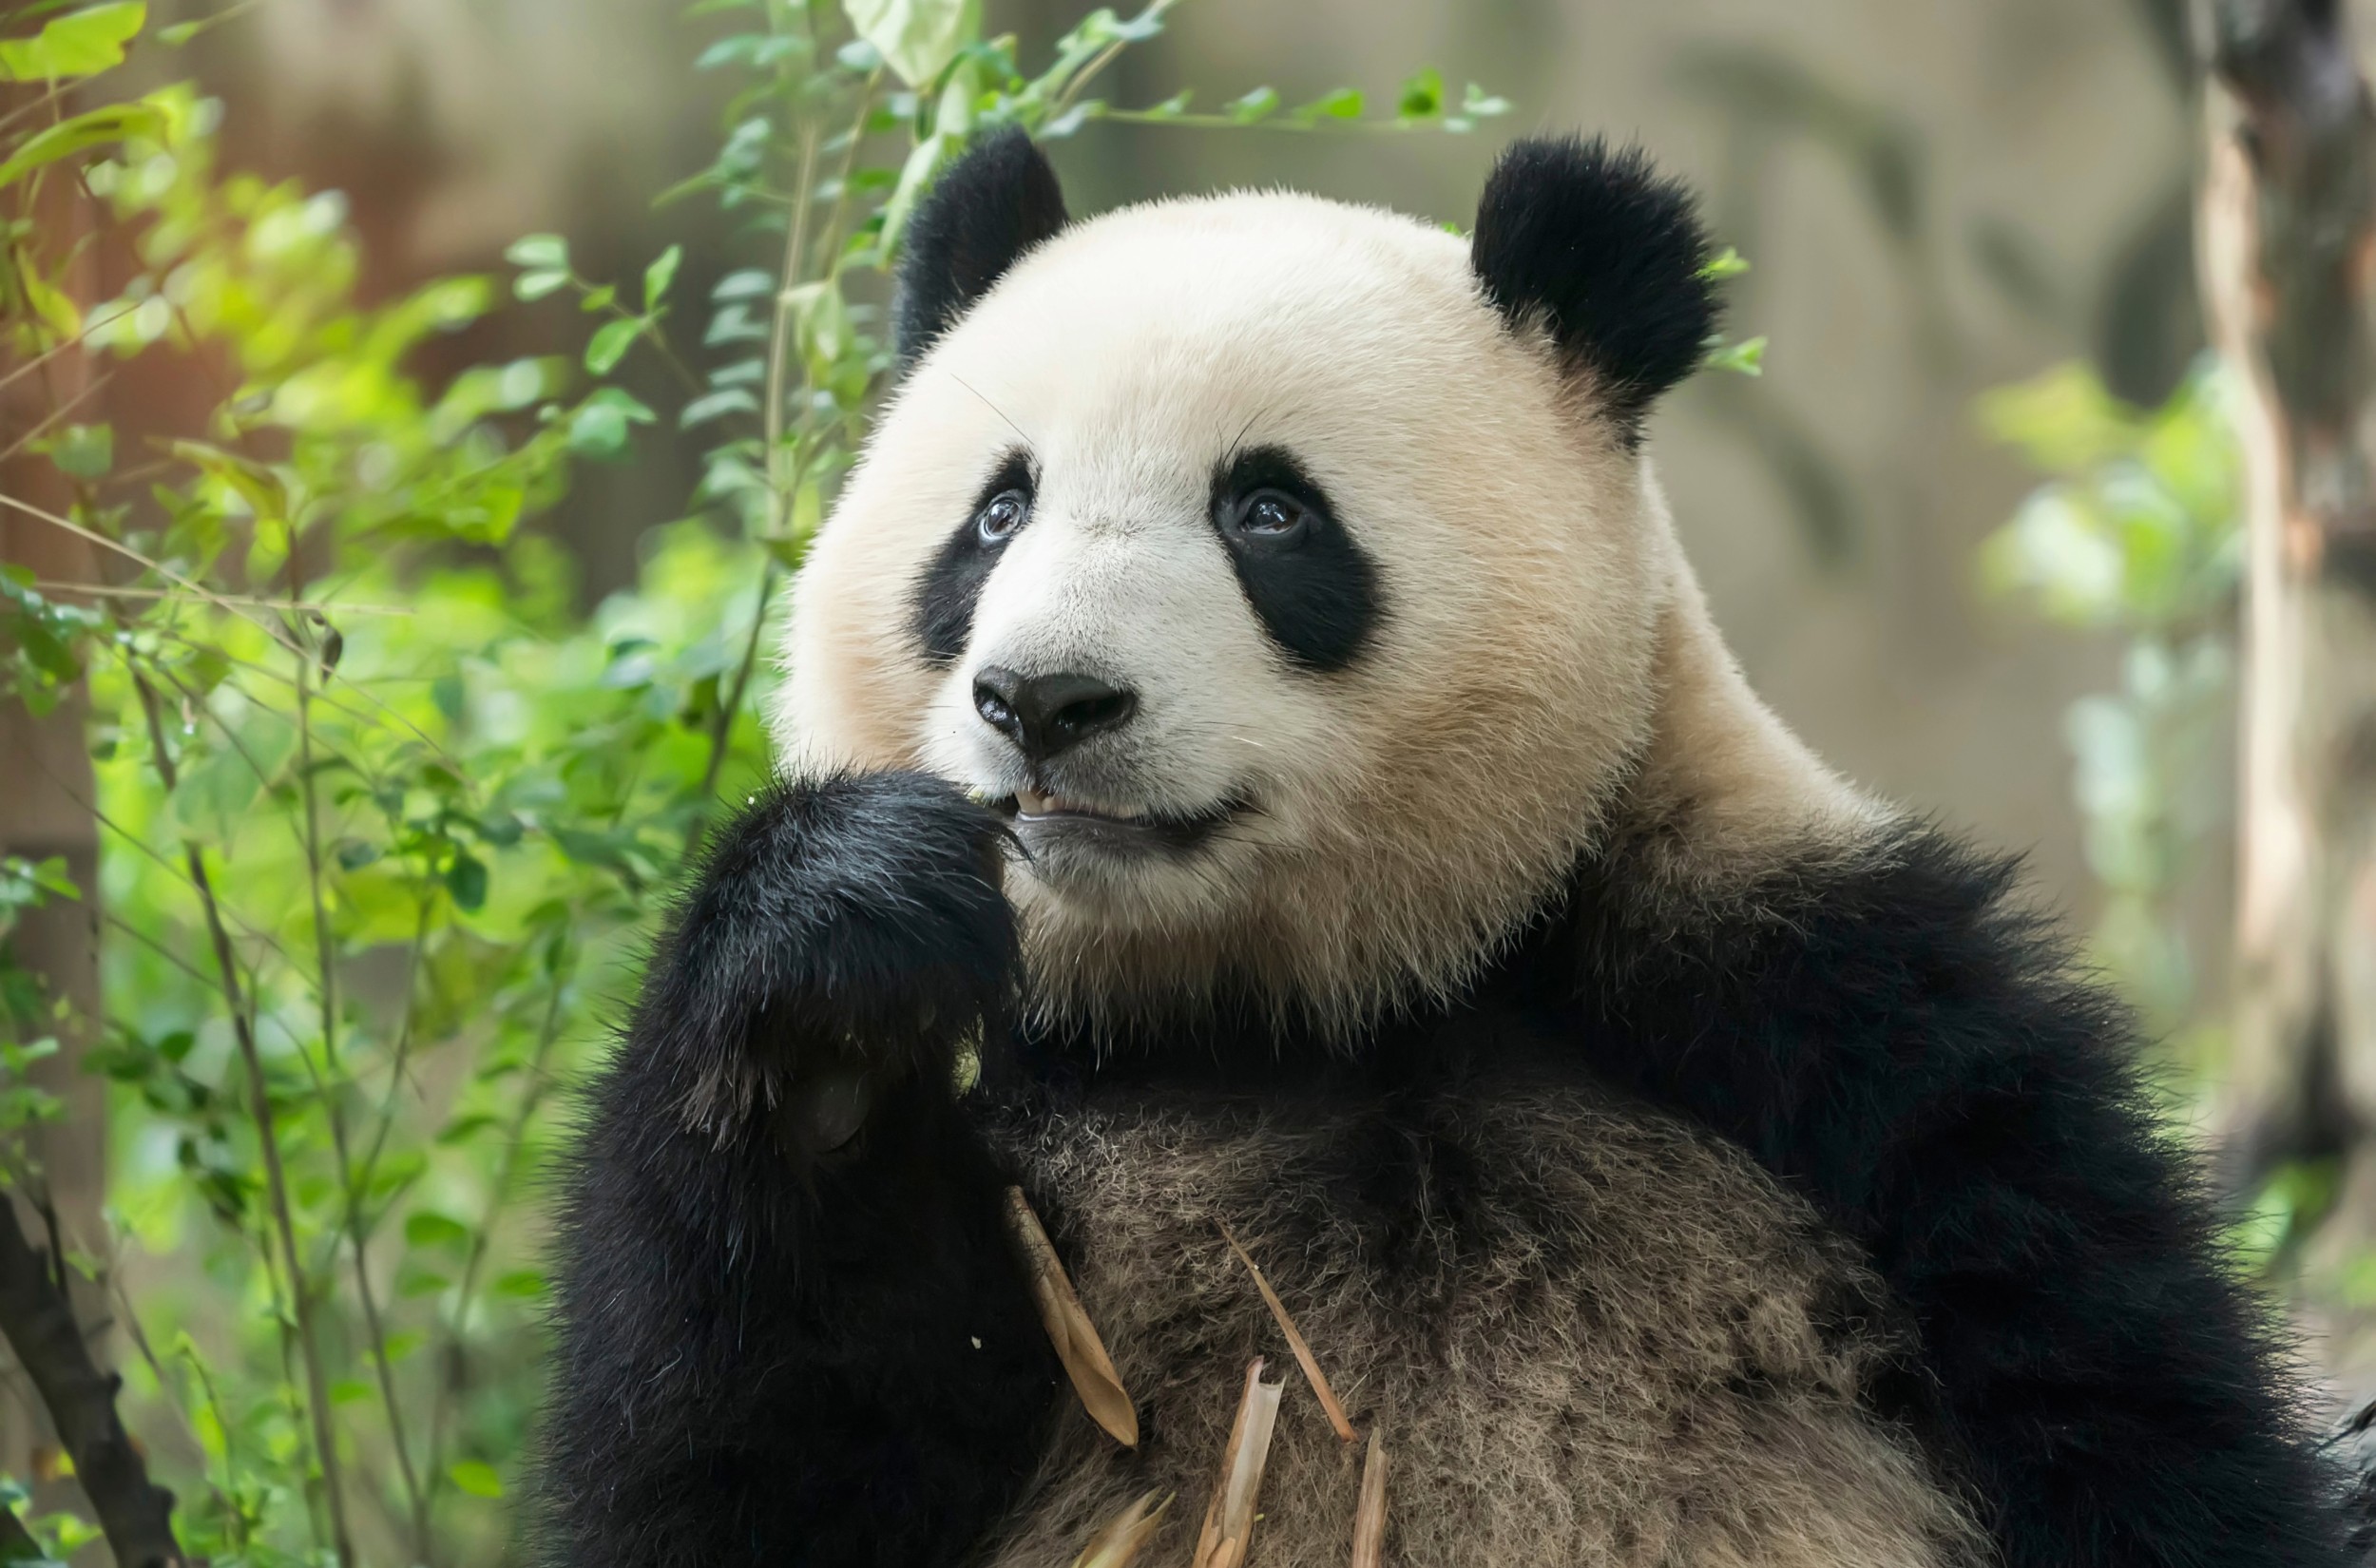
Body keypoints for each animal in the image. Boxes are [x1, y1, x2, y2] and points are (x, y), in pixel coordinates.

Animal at [534, 129, 2352, 1568]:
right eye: (995, 514)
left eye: (1268, 511)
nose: (1043, 700)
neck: (1314, 1011)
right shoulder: (1031, 1118)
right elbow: (739, 1469)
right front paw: (842, 990)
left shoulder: (1829, 1020)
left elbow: (2128, 1411)